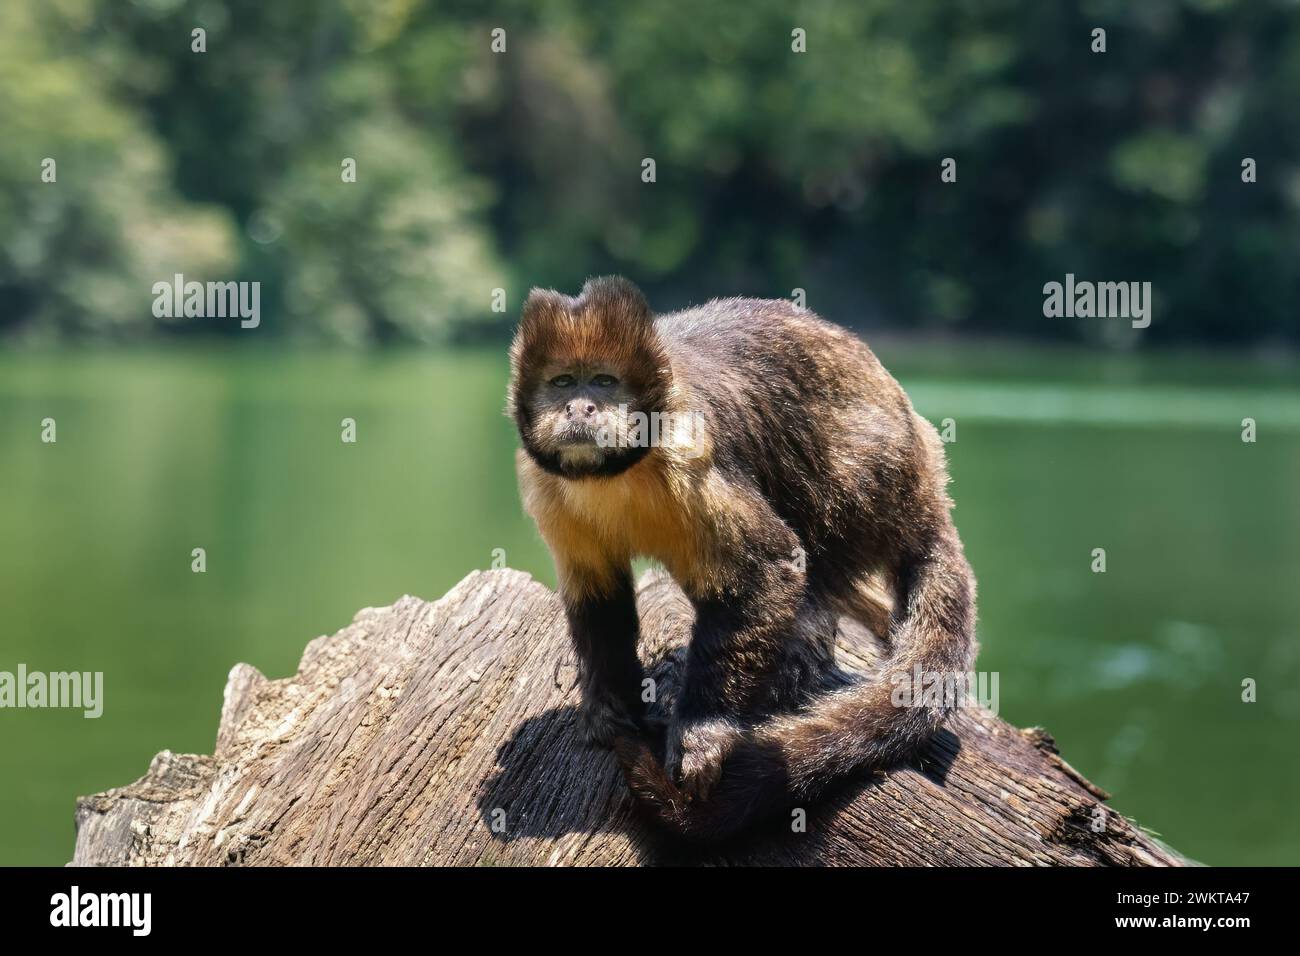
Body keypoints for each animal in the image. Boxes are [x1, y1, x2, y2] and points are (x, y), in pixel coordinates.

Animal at [507, 276, 977, 840]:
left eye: (603, 382)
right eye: (562, 383)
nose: (581, 409)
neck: (619, 472)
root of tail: (929, 484)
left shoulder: (690, 452)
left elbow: (770, 570)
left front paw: (702, 731)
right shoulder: (546, 483)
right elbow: (599, 598)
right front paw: (610, 707)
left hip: (882, 486)